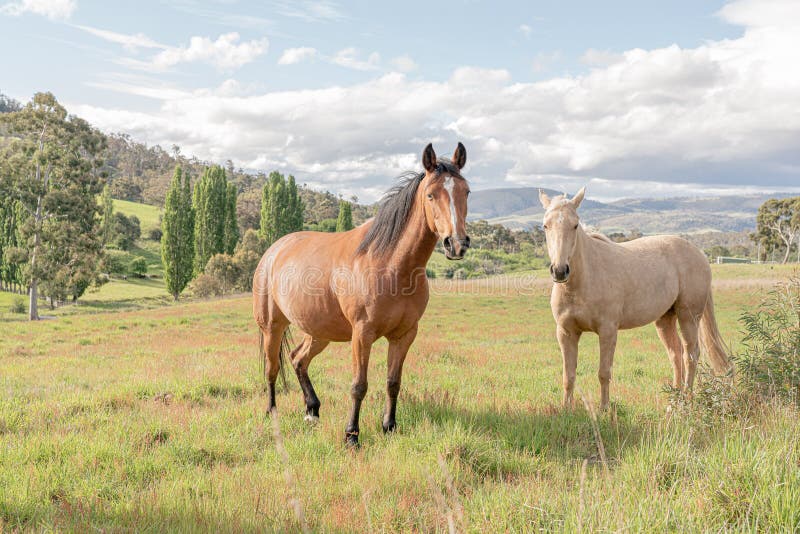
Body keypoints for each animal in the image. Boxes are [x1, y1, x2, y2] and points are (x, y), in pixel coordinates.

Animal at [253, 143, 471, 446]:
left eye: (466, 191)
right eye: (431, 194)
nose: (457, 244)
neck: (390, 264)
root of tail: (274, 251)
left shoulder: (404, 335)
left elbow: (393, 382)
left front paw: (389, 426)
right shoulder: (362, 334)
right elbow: (359, 385)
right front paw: (351, 436)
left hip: (319, 332)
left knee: (298, 359)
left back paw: (312, 411)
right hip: (272, 327)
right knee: (272, 369)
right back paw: (272, 412)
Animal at [538, 187, 730, 410]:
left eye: (575, 225)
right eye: (545, 225)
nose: (560, 271)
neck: (582, 281)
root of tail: (700, 254)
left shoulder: (608, 331)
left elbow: (604, 373)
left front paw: (604, 409)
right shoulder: (566, 333)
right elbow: (568, 376)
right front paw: (566, 409)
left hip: (688, 317)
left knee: (690, 355)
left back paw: (686, 402)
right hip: (665, 319)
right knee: (676, 355)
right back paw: (673, 402)